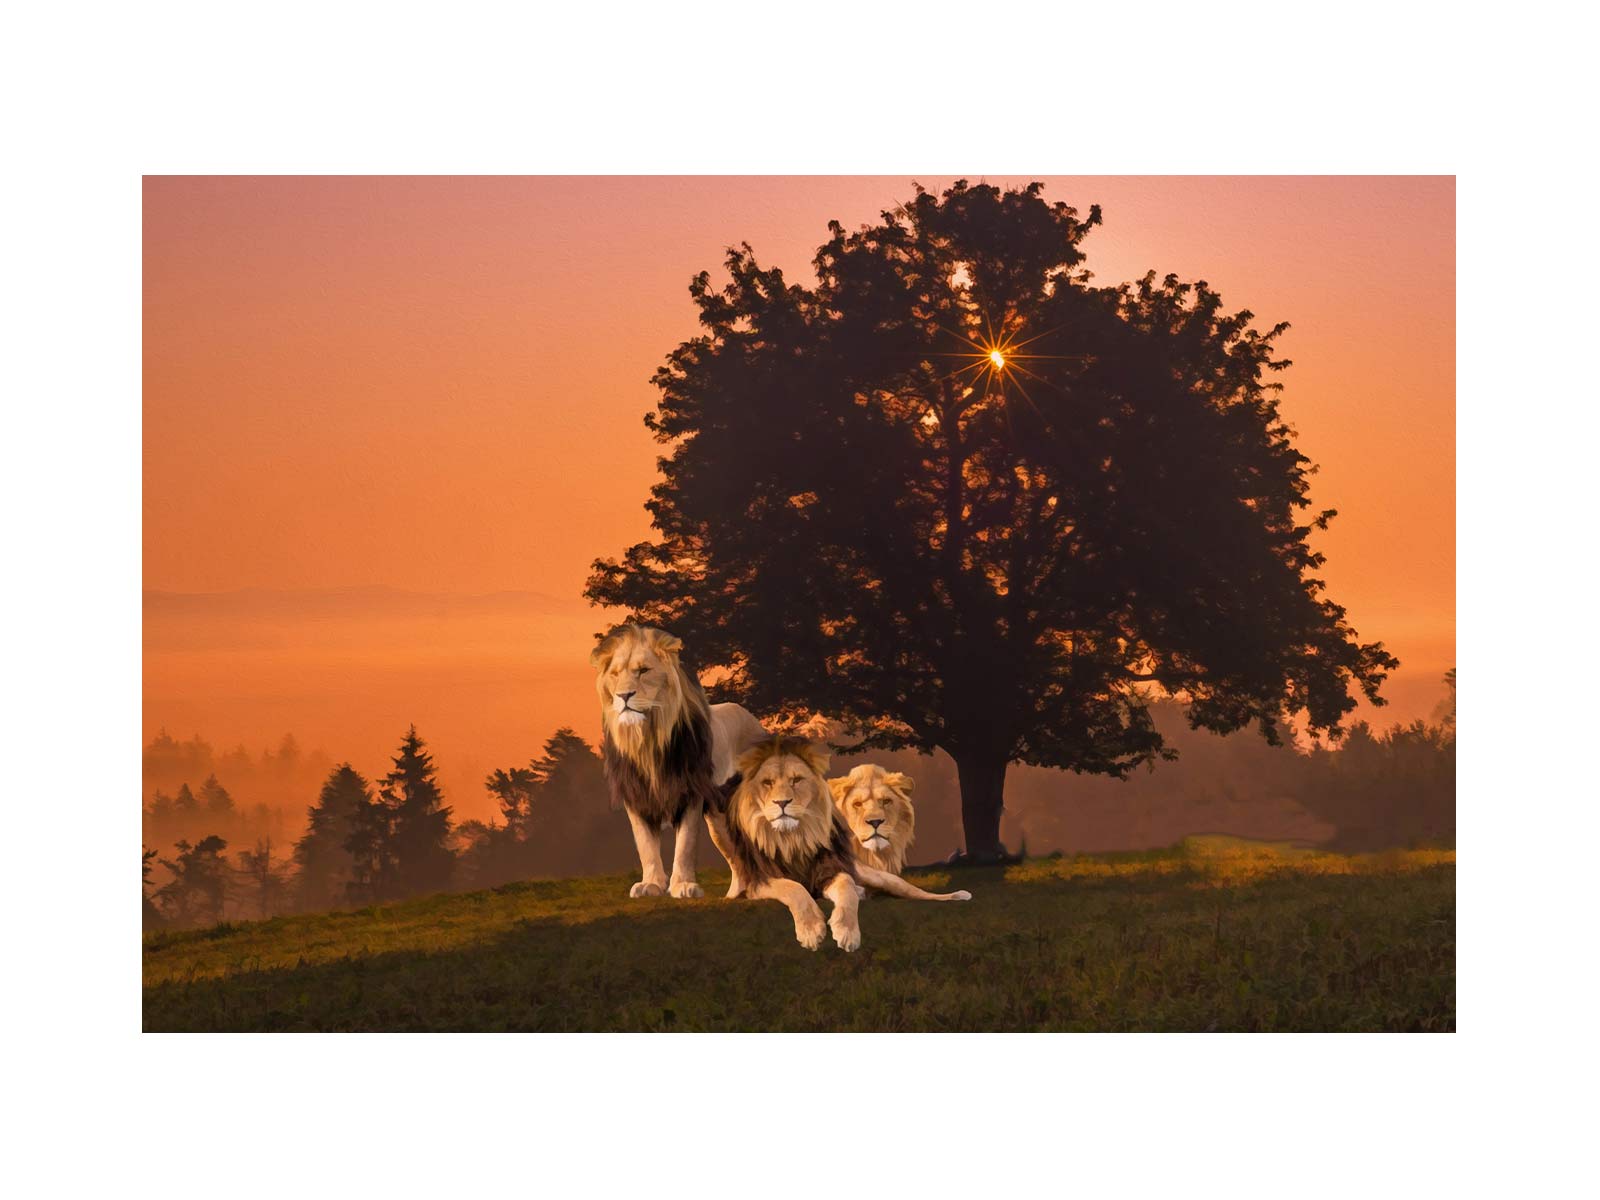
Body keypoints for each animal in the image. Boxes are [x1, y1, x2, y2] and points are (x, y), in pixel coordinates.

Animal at [591, 623, 766, 899]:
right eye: (615, 674)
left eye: (643, 670)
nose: (624, 695)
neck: (647, 740)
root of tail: (753, 719)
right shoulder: (636, 796)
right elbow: (645, 845)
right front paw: (651, 884)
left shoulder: (690, 793)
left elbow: (685, 844)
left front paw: (683, 885)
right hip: (719, 821)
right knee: (737, 858)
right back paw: (736, 895)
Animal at [722, 737, 971, 951]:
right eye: (767, 783)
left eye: (796, 780)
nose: (782, 802)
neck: (793, 837)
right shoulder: (758, 882)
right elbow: (794, 888)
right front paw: (811, 929)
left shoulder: (831, 872)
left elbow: (847, 889)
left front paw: (847, 931)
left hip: (884, 879)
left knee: (918, 893)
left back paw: (958, 895)